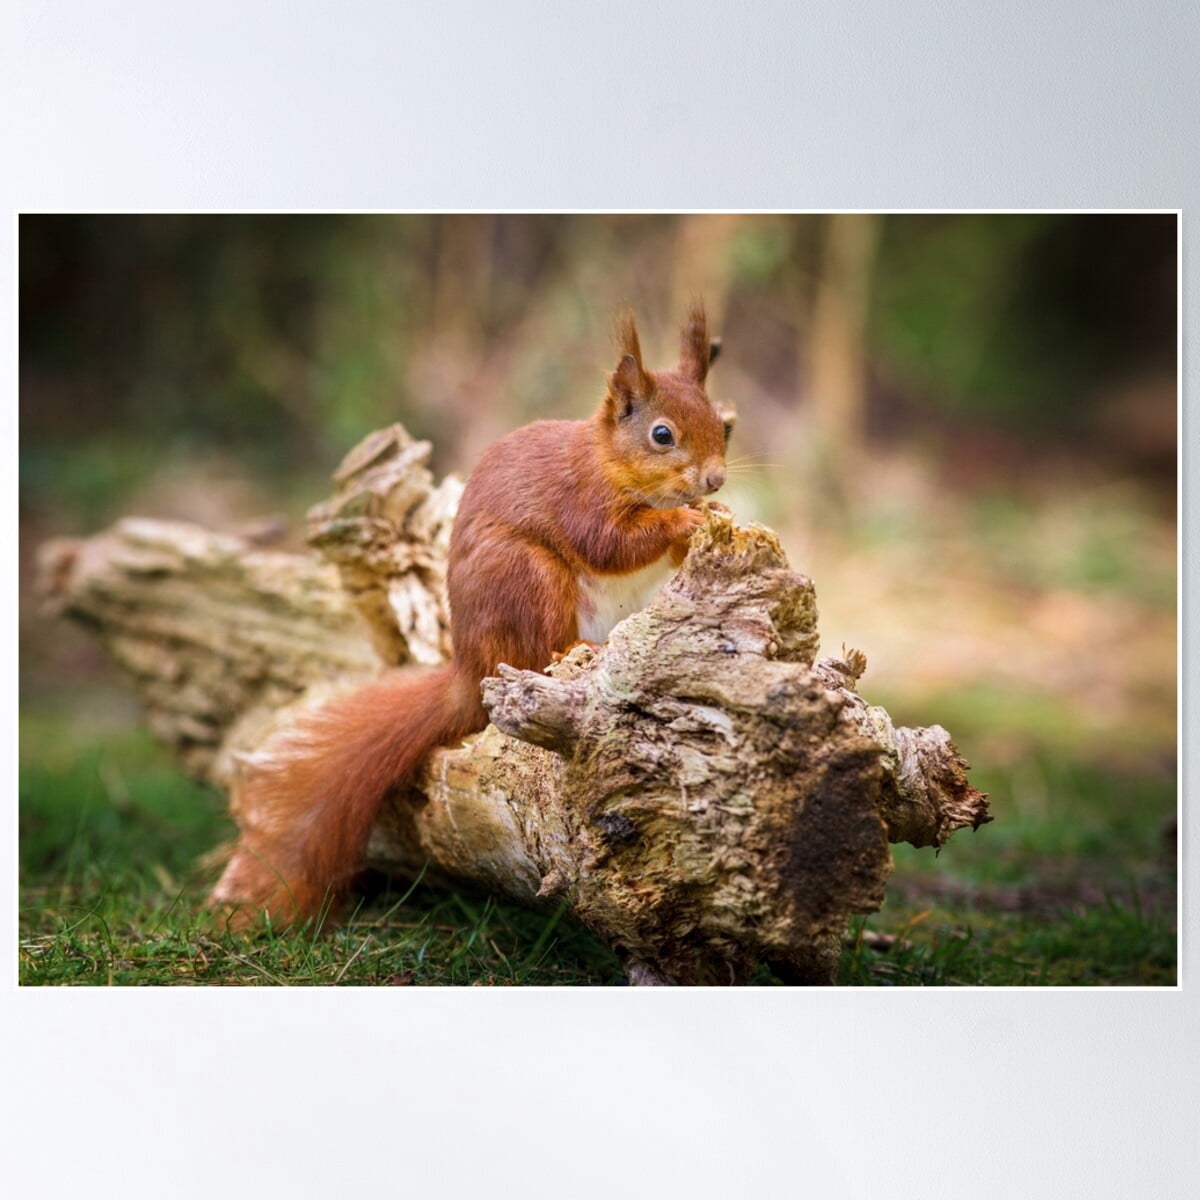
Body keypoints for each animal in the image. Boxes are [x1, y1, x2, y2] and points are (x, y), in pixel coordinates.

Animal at [210, 304, 731, 927]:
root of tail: (468, 671)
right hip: (527, 578)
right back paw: (580, 653)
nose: (715, 479)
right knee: (539, 651)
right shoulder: (581, 499)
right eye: (661, 435)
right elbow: (611, 544)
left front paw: (714, 513)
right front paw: (684, 521)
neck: (609, 461)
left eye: (723, 425)